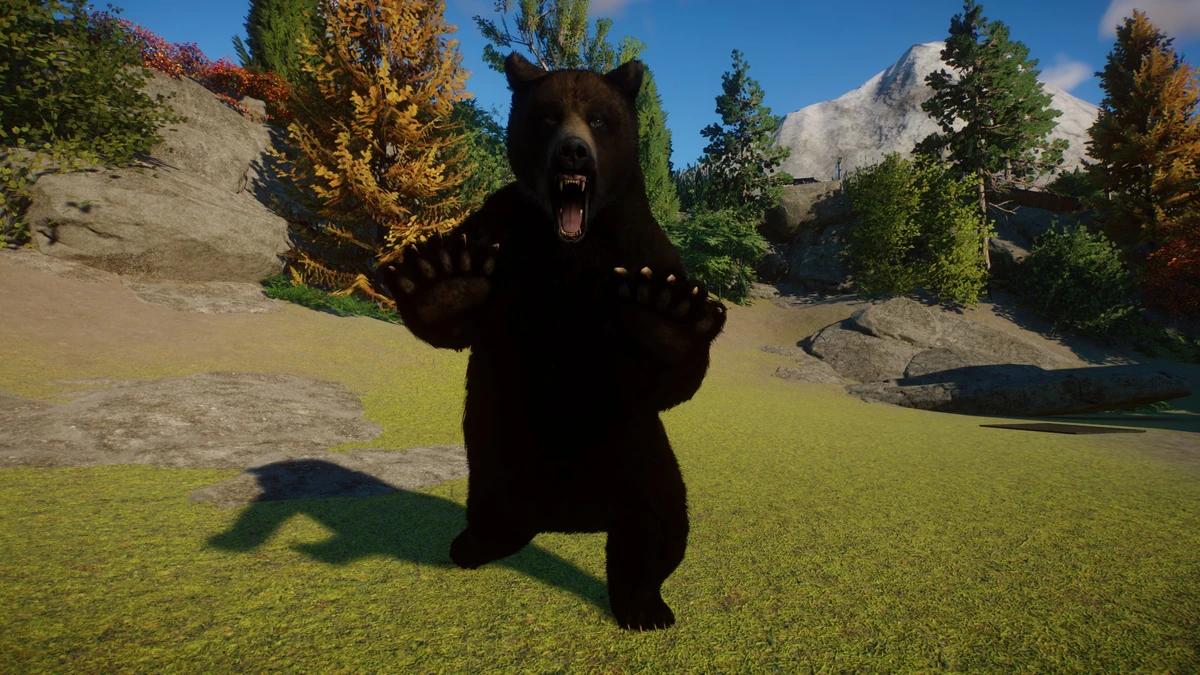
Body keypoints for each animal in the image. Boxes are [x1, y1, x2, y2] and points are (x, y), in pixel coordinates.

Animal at [376, 52, 727, 631]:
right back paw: (478, 543)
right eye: (547, 117)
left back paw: (643, 604)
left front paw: (666, 315)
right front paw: (442, 276)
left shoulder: (639, 246)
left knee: (657, 523)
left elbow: (673, 378)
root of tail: (571, 519)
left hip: (638, 458)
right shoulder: (505, 230)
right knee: (498, 505)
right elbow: (456, 321)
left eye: (600, 119)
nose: (573, 150)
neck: (570, 241)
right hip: (497, 456)